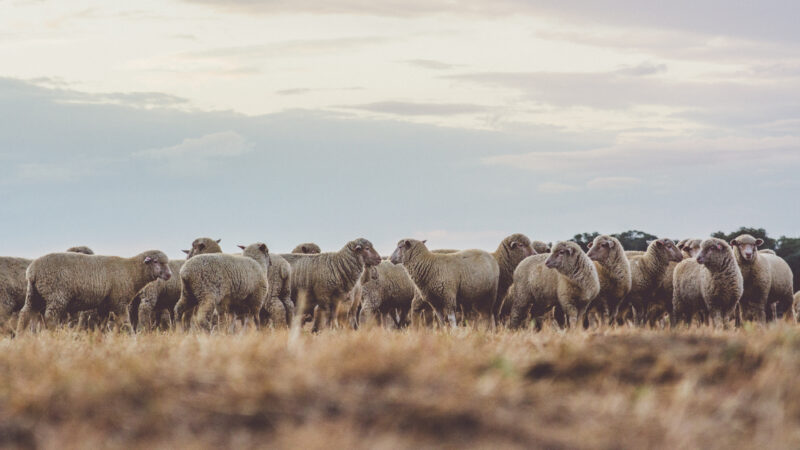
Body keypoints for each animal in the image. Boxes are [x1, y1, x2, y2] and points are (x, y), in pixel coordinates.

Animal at [17, 250, 172, 333]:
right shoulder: (119, 302)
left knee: (25, 313)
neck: (131, 271)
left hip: (34, 294)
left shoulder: (105, 304)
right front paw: (131, 336)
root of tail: (33, 271)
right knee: (50, 317)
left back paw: (21, 336)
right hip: (56, 295)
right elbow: (125, 321)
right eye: (156, 262)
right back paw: (53, 333)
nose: (169, 275)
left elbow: (103, 322)